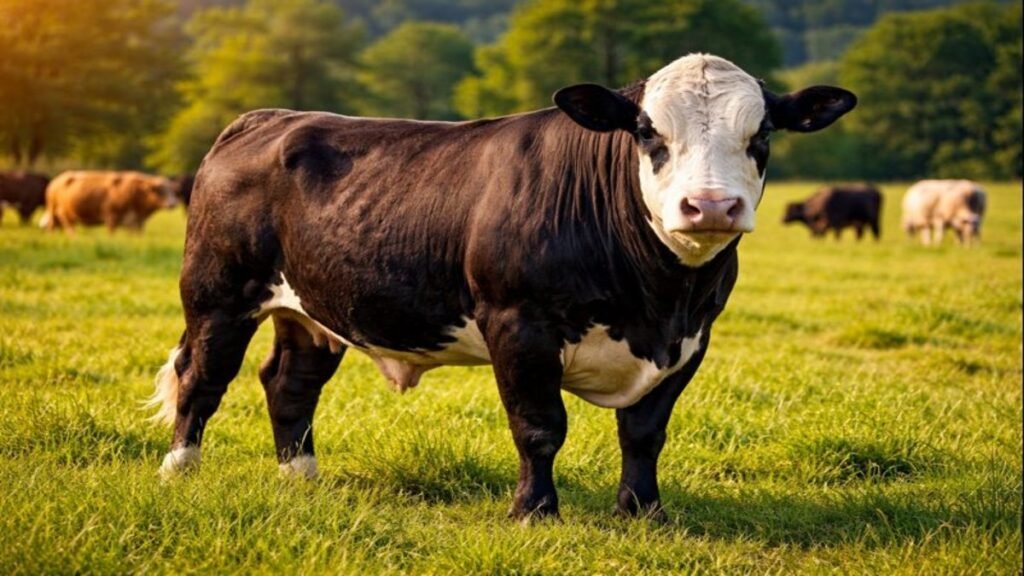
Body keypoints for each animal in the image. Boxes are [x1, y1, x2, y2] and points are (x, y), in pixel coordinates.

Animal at [42, 170, 178, 233]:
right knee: (65, 226)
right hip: (59, 211)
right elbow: (111, 233)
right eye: (160, 191)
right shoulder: (110, 215)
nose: (172, 204)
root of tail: (55, 180)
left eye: (172, 190)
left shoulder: (136, 223)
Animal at [149, 54, 856, 520]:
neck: (655, 299)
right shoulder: (519, 323)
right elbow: (539, 427)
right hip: (217, 292)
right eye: (647, 132)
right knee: (202, 377)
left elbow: (644, 432)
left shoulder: (691, 338)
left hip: (315, 310)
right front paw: (534, 512)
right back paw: (179, 469)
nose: (709, 206)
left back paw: (301, 477)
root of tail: (268, 117)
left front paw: (642, 513)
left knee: (289, 382)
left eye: (761, 134)